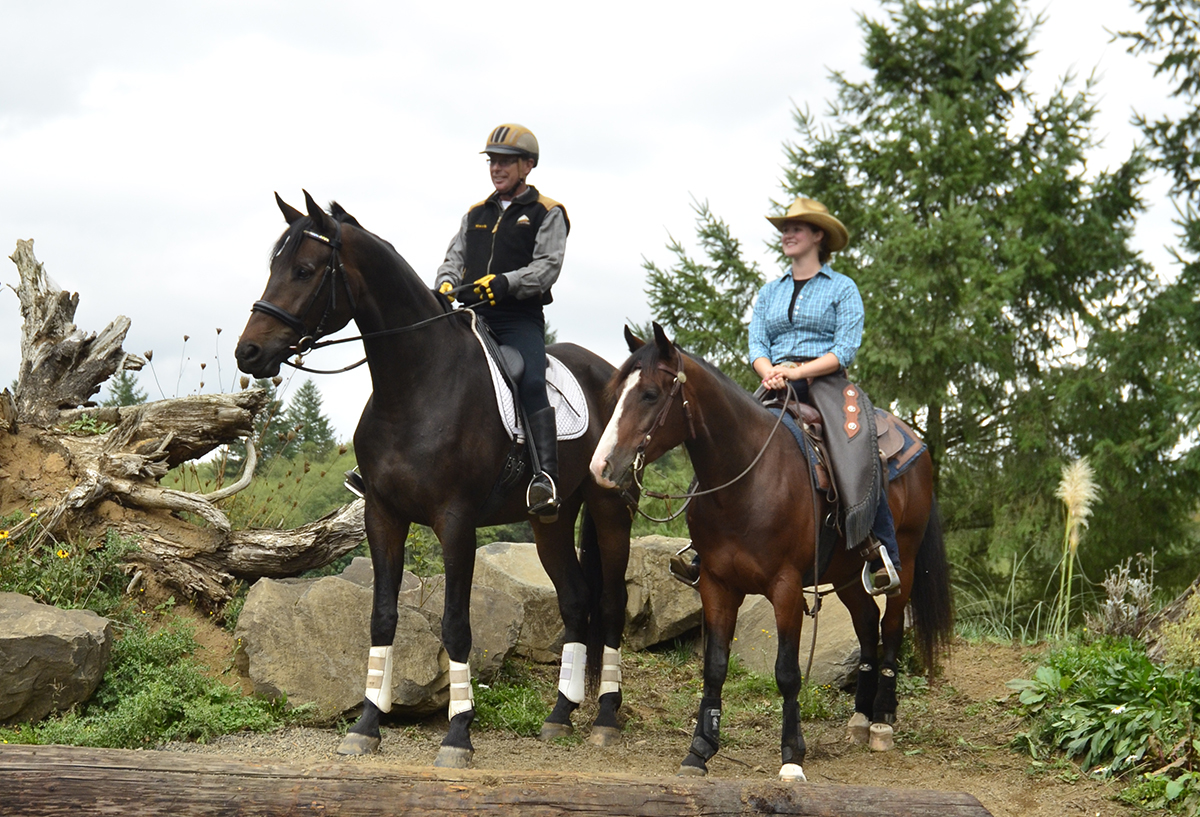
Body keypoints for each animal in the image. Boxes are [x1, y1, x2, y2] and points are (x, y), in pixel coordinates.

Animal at [235, 191, 634, 768]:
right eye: (274, 267)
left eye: (304, 270)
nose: (249, 353)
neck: (416, 384)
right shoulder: (383, 516)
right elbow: (382, 616)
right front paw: (367, 724)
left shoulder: (456, 523)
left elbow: (456, 625)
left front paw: (458, 733)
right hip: (550, 522)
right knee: (576, 600)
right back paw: (560, 714)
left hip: (610, 511)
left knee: (610, 603)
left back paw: (604, 718)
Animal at [590, 323, 953, 781]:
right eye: (617, 392)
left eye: (651, 394)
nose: (600, 467)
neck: (746, 482)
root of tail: (915, 442)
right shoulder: (716, 585)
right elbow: (715, 667)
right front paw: (699, 750)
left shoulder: (786, 588)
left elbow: (787, 672)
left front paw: (792, 757)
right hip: (845, 573)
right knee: (867, 622)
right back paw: (860, 716)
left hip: (900, 558)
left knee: (890, 627)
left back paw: (882, 720)